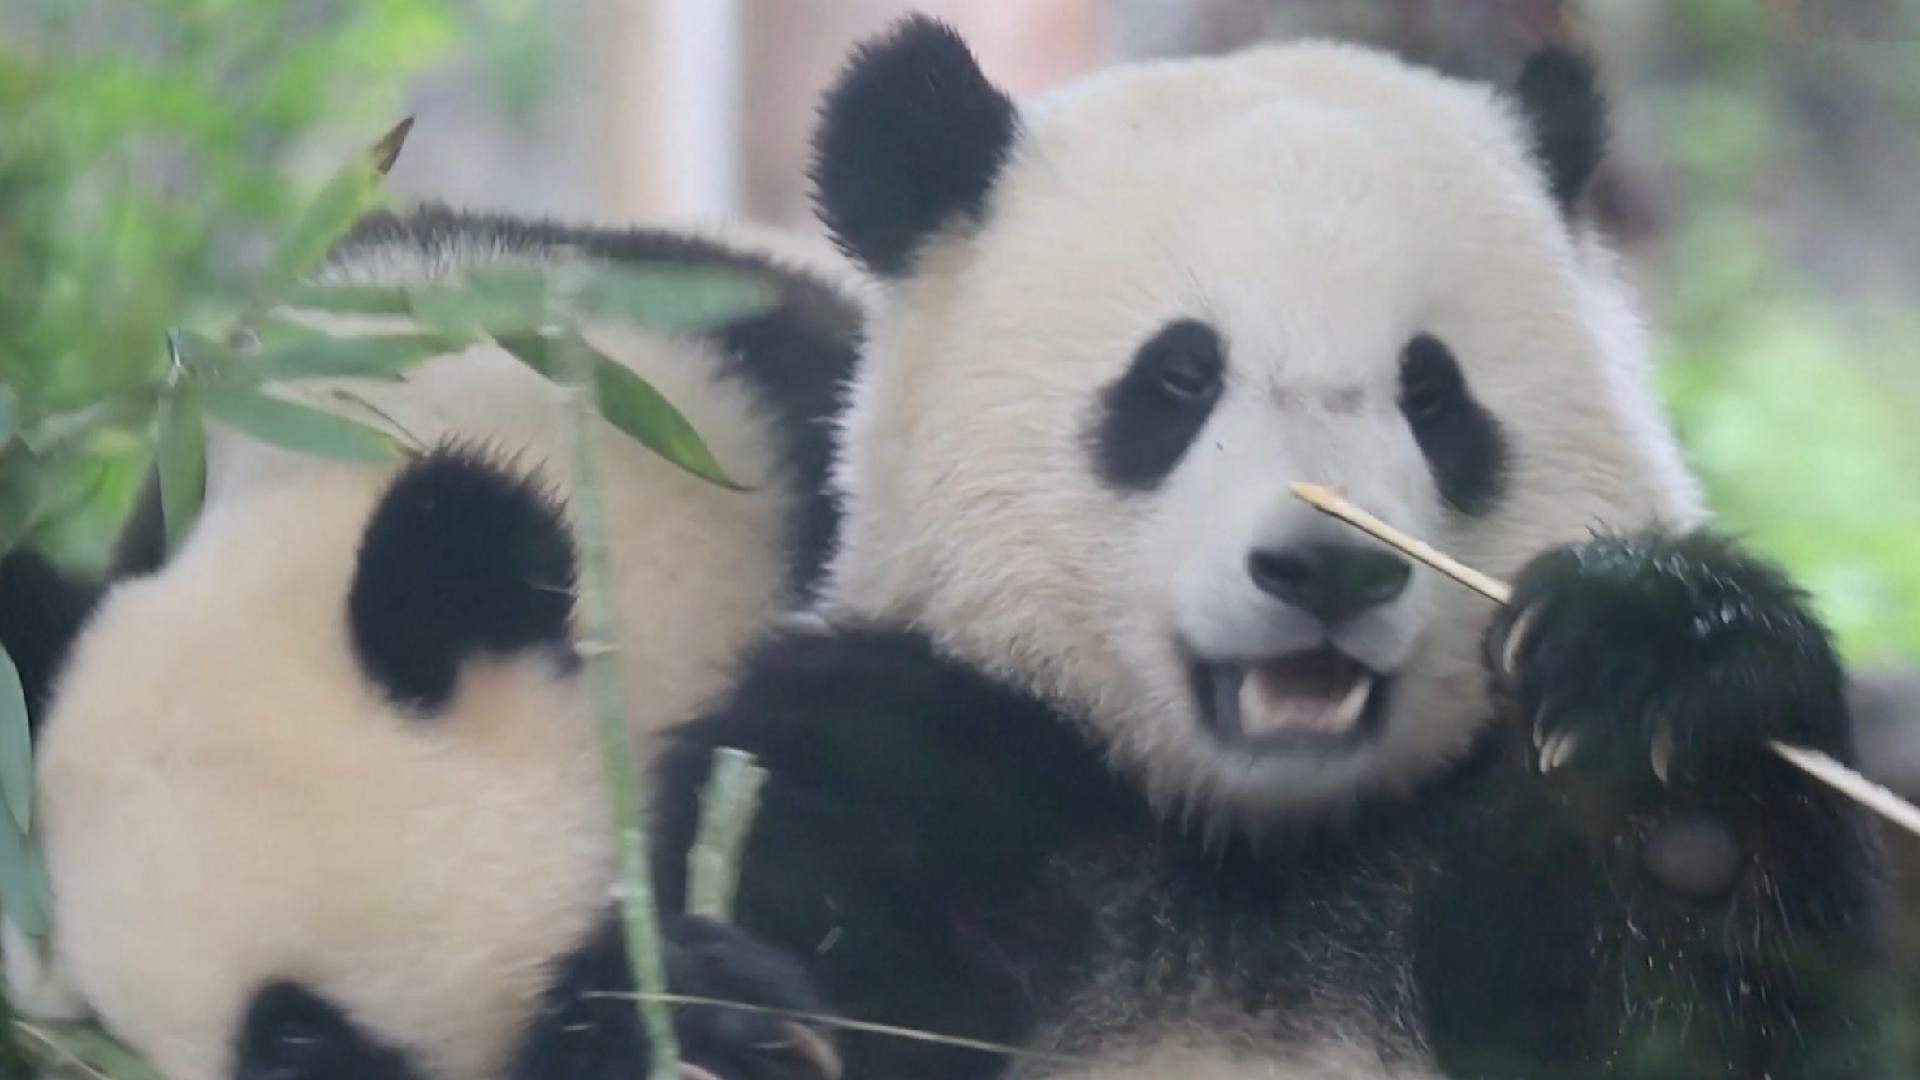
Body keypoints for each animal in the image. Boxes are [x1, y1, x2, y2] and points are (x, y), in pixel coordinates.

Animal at [500, 16, 1897, 1080]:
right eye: (1177, 377)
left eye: (1431, 391)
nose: (1328, 568)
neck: (1252, 850)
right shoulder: (924, 769)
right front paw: (722, 1015)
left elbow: (1722, 1000)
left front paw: (1665, 734)